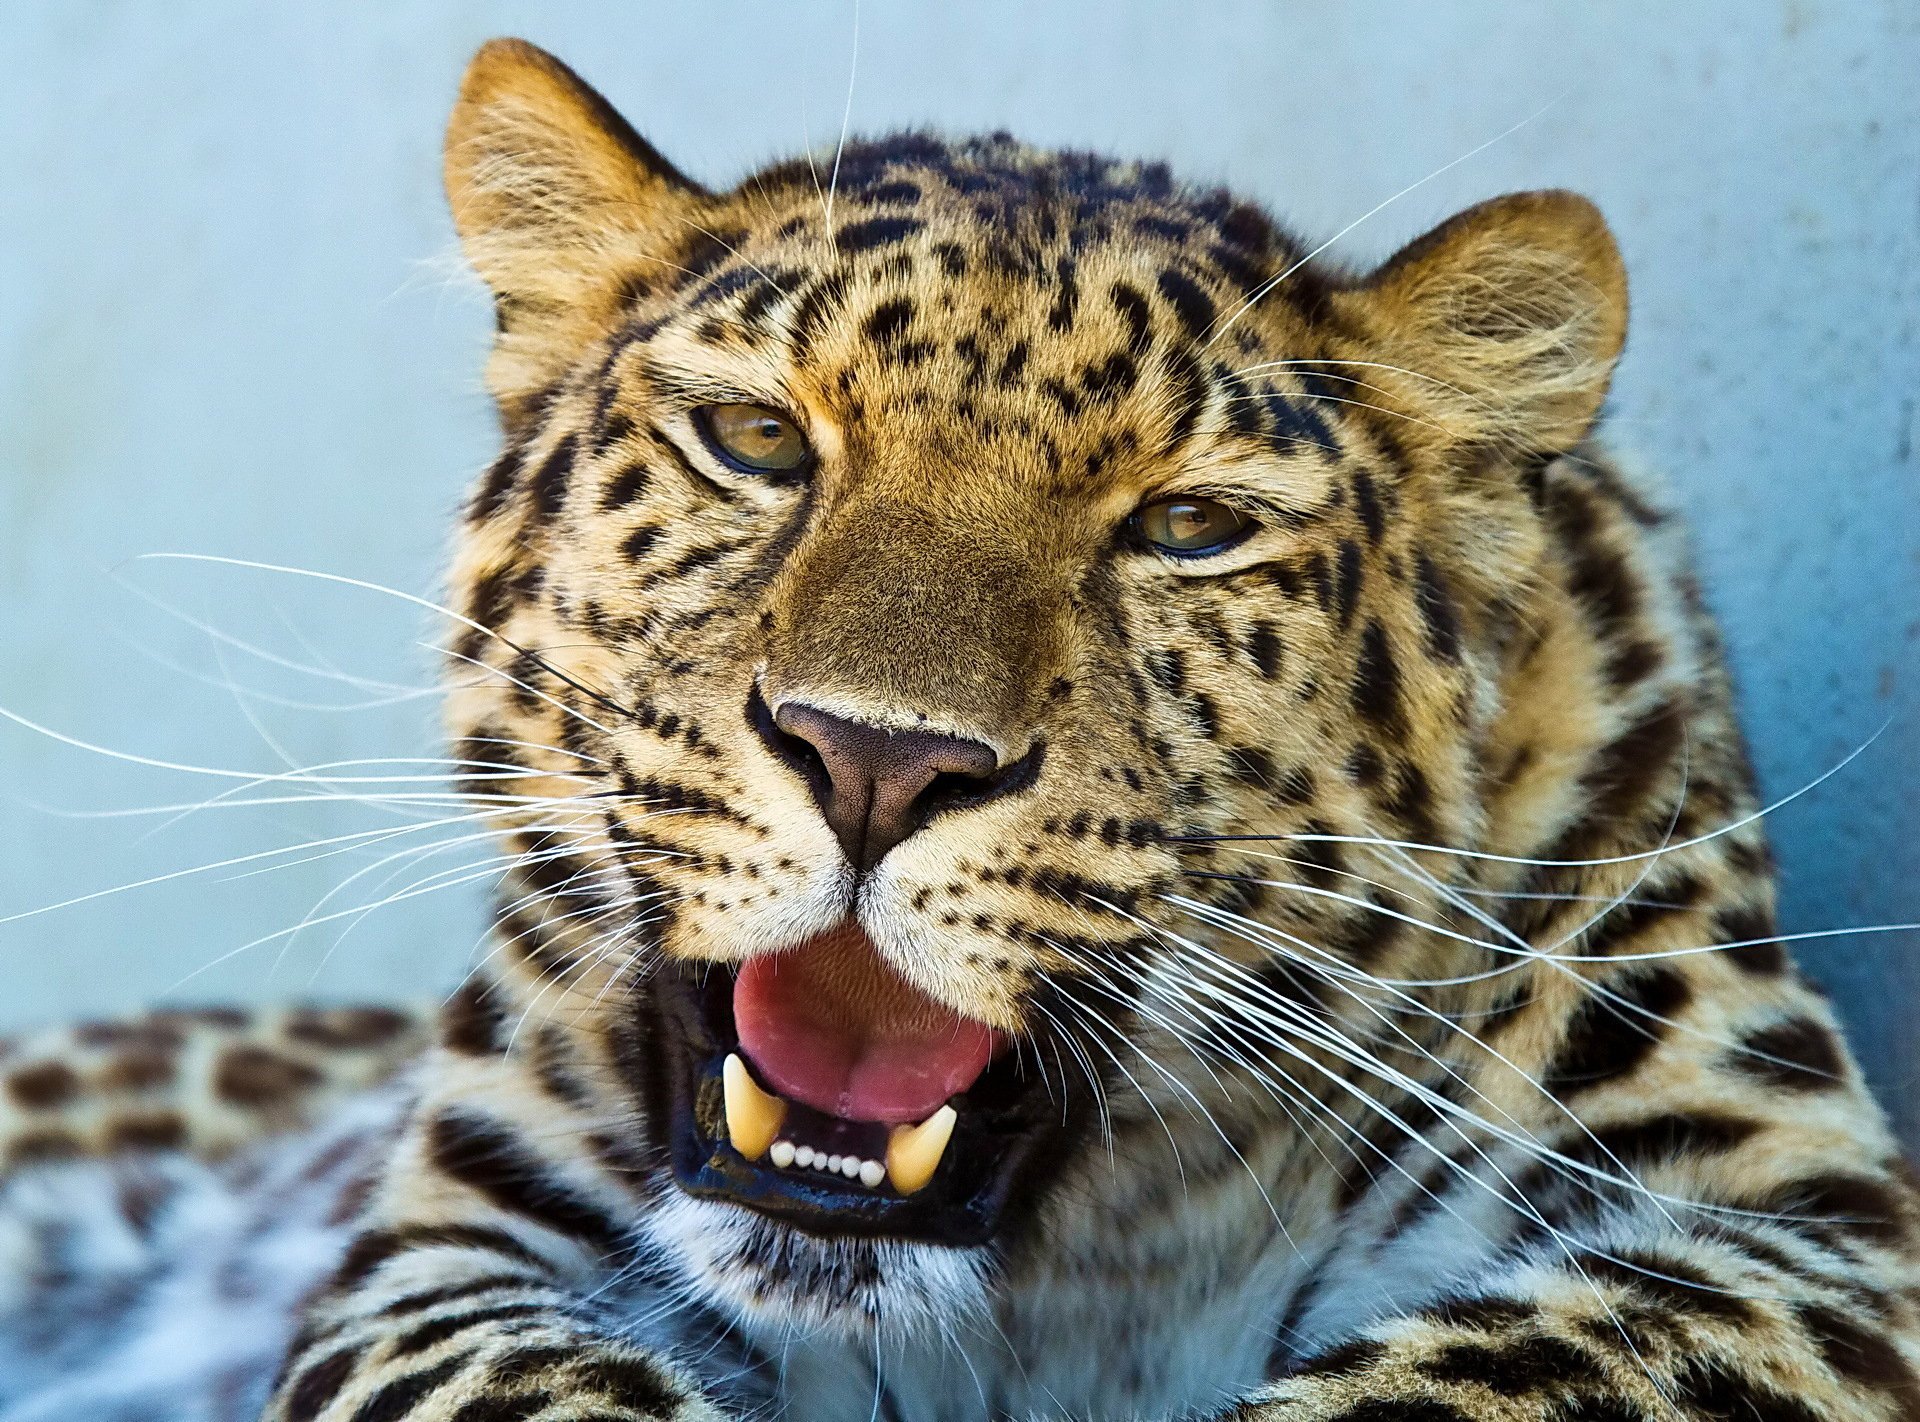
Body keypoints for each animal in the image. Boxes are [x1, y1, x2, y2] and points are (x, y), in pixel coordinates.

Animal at [1, 36, 1914, 1422]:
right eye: (758, 442)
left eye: (1187, 527)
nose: (874, 759)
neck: (1056, 1297)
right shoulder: (452, 1245)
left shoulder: (1786, 1225)